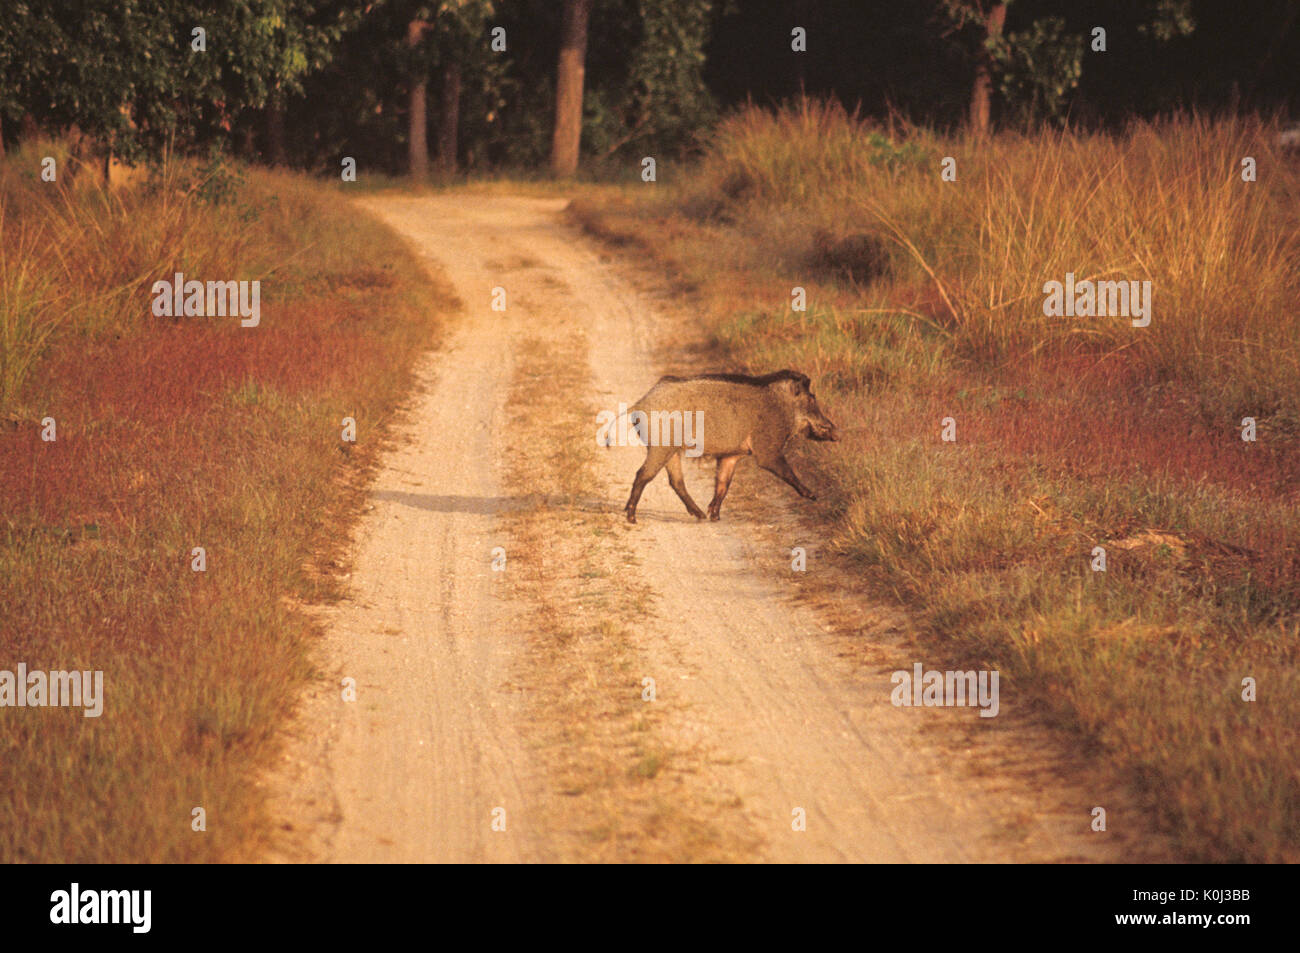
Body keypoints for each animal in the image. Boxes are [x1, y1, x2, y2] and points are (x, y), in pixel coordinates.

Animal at [622, 369, 839, 524]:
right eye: (811, 398)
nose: (836, 432)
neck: (782, 406)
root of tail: (640, 404)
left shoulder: (730, 456)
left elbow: (723, 484)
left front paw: (715, 516)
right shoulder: (767, 449)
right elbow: (787, 471)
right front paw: (813, 495)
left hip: (671, 451)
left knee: (676, 481)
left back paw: (700, 515)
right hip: (661, 447)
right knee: (643, 474)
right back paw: (631, 518)